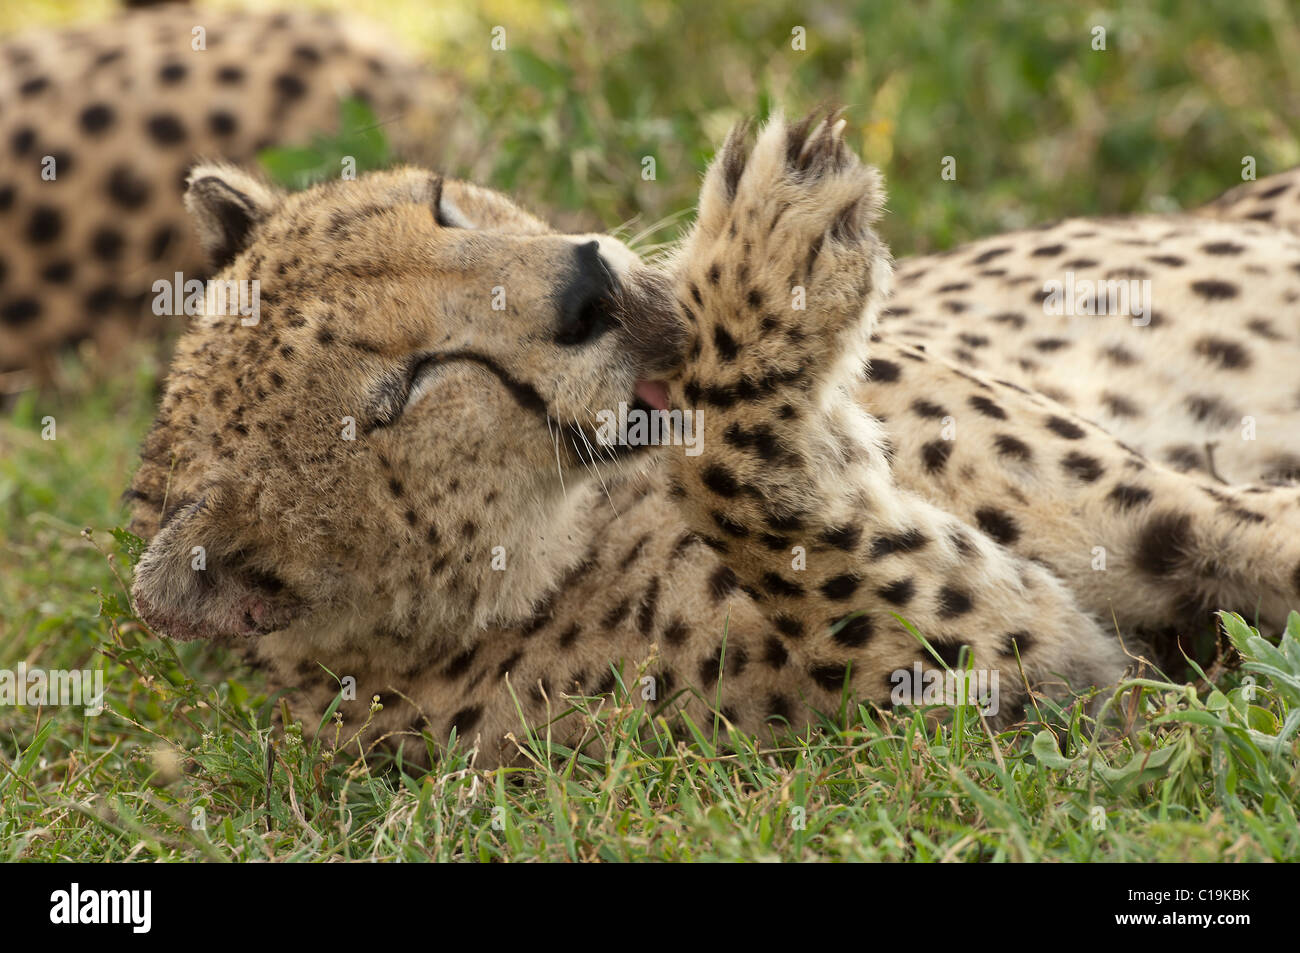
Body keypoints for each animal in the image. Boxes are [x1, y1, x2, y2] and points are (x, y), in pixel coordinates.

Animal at [123, 109, 1300, 769]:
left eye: (444, 205)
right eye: (405, 389)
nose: (586, 285)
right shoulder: (1022, 677)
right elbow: (783, 512)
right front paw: (774, 257)